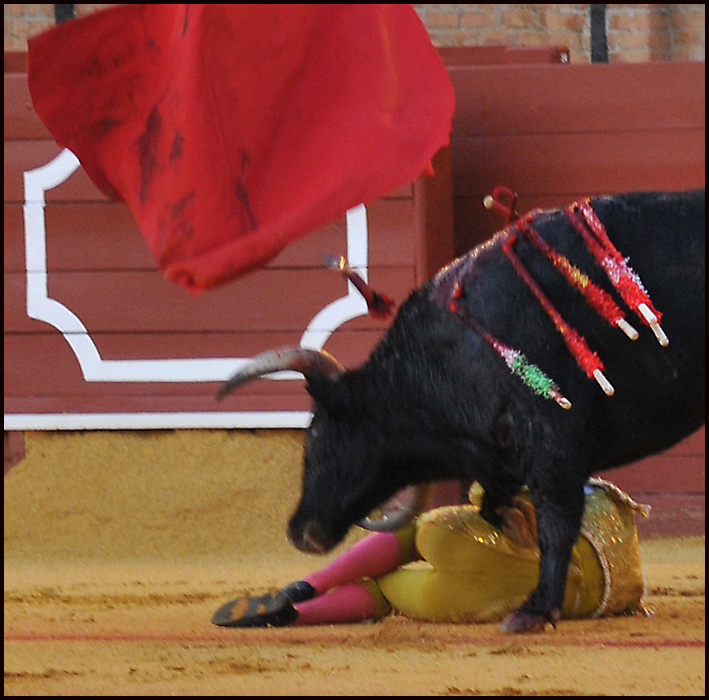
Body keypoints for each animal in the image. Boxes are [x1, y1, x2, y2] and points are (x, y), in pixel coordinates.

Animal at [220, 189, 704, 632]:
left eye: (316, 437)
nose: (299, 531)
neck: (448, 356)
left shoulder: (553, 442)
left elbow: (555, 524)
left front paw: (534, 610)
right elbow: (497, 504)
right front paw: (515, 524)